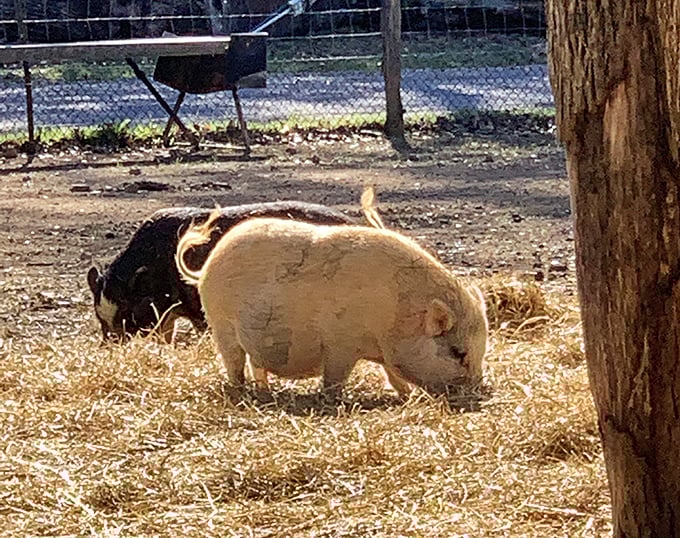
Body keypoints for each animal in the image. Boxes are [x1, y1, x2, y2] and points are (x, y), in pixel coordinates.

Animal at [175, 210, 488, 399]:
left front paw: (407, 397)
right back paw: (244, 393)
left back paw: (264, 392)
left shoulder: (385, 353)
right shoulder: (341, 344)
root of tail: (206, 268)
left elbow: (394, 376)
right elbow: (335, 378)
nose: (478, 389)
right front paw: (332, 398)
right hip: (222, 326)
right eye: (458, 352)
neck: (397, 314)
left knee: (256, 365)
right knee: (235, 365)